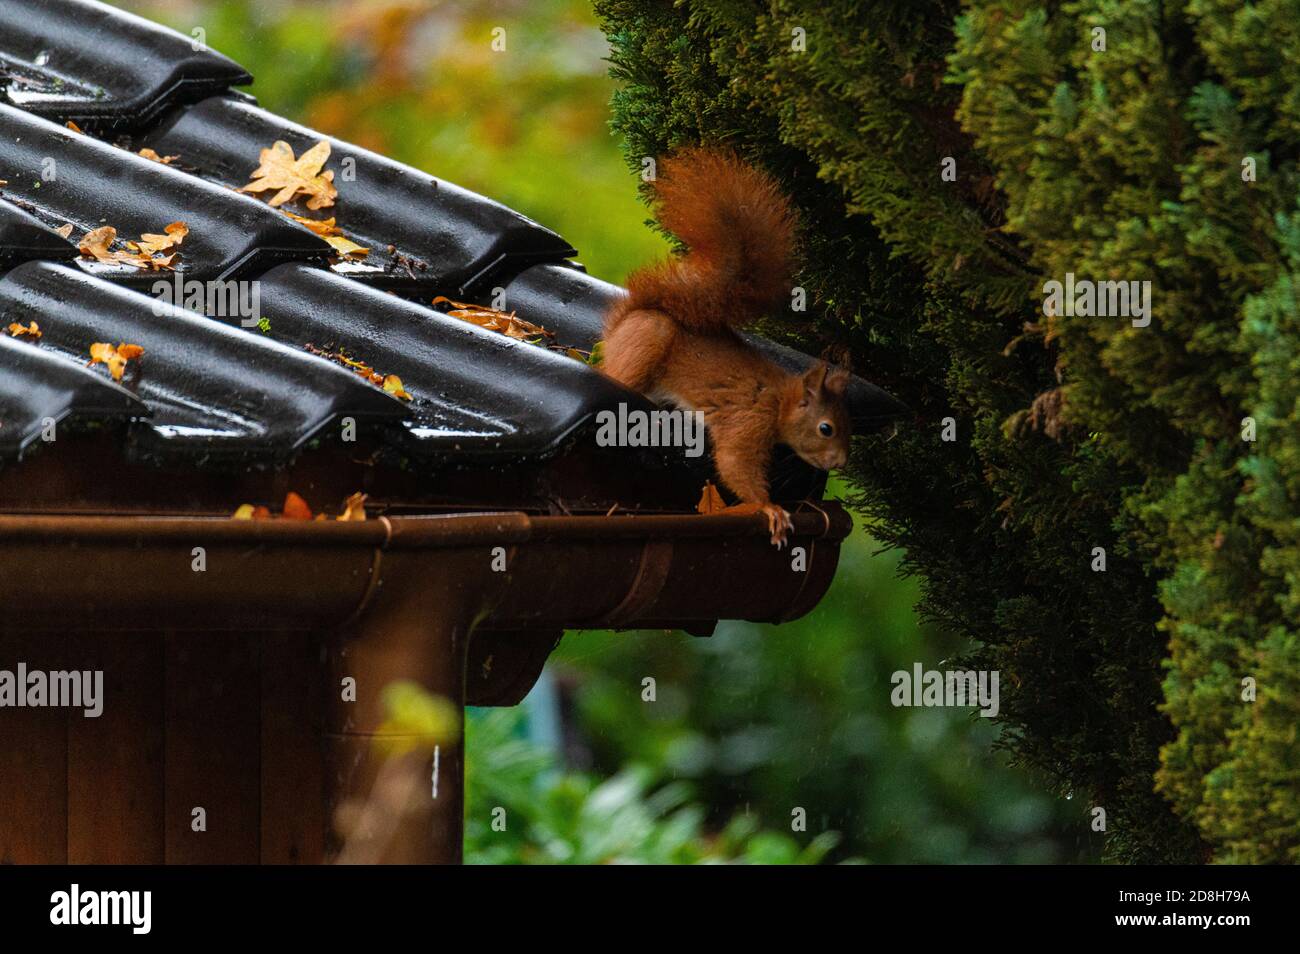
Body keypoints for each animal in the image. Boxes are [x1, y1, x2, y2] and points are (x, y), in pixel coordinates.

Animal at [601, 148, 850, 548]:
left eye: (850, 424)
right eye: (826, 428)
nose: (841, 462)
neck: (780, 399)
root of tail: (629, 319)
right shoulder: (749, 420)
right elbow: (735, 463)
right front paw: (770, 509)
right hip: (646, 348)